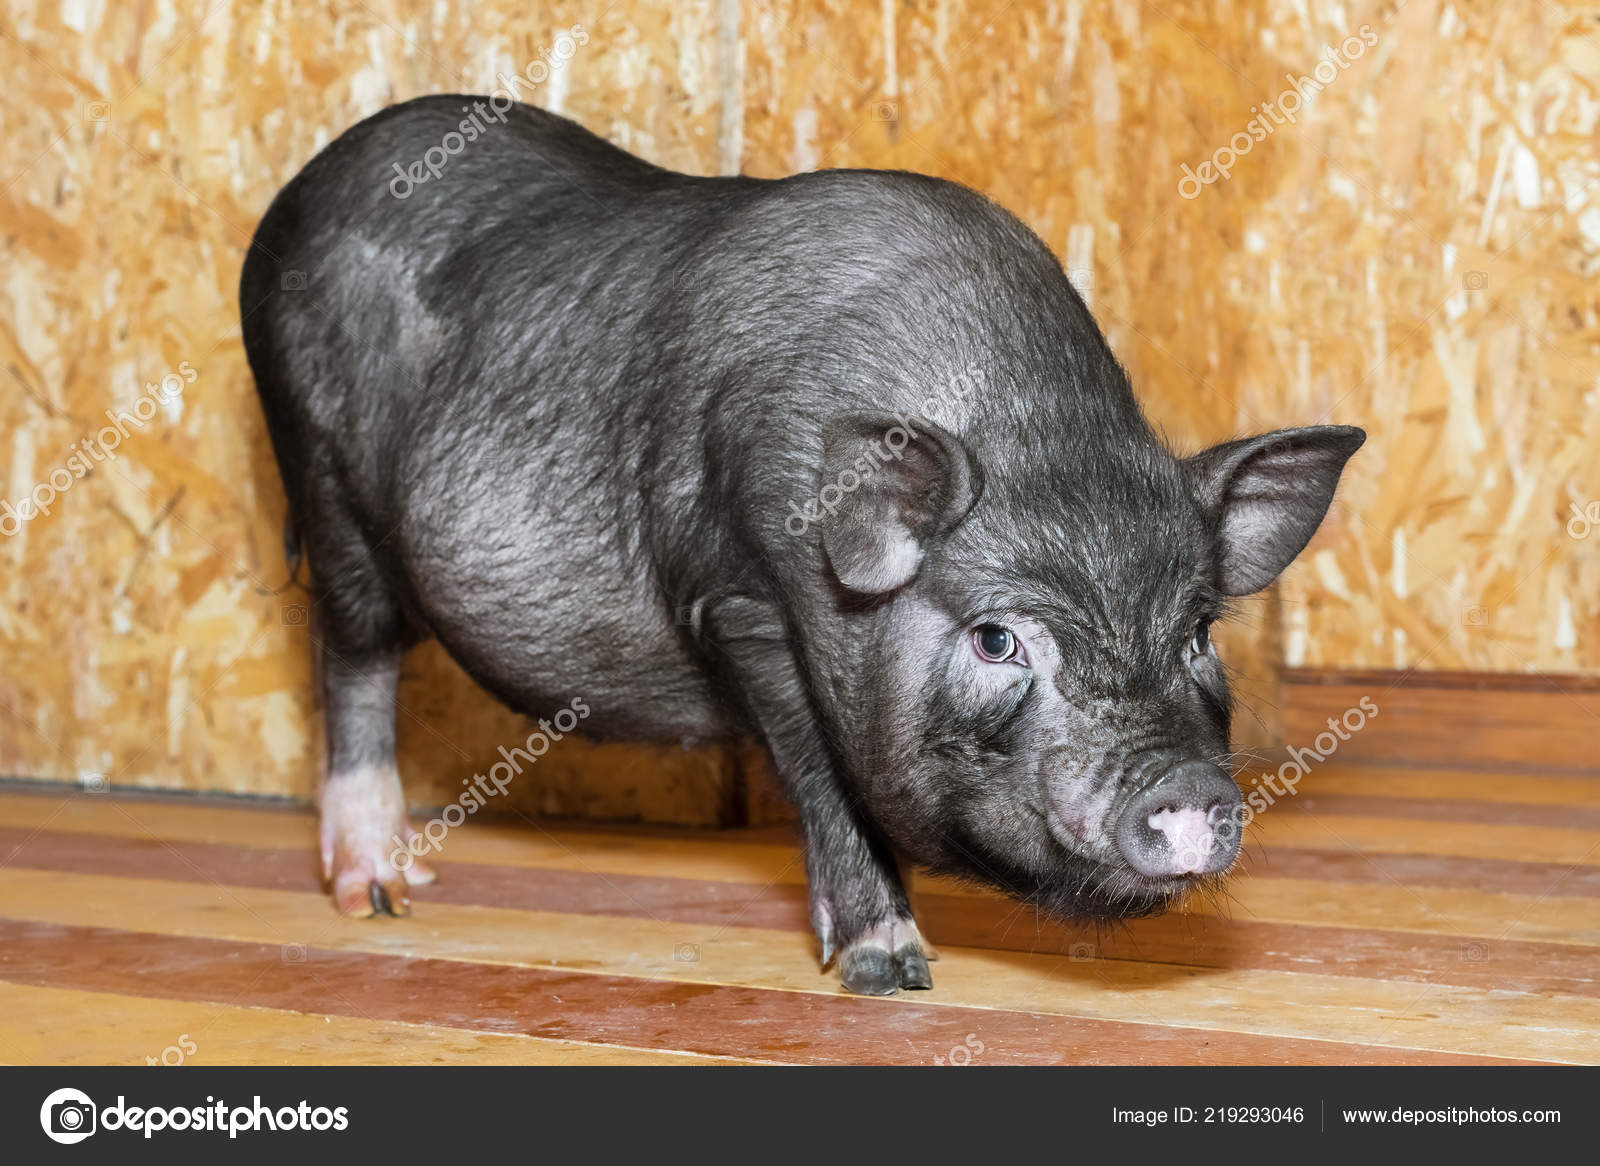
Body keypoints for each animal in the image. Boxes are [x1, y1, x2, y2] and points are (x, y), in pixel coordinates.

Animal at [239, 95, 1364, 995]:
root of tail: (298, 190)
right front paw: (889, 968)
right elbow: (822, 777)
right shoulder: (738, 597)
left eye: (1197, 634)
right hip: (323, 483)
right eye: (997, 639)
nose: (1189, 788)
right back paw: (385, 893)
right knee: (351, 653)